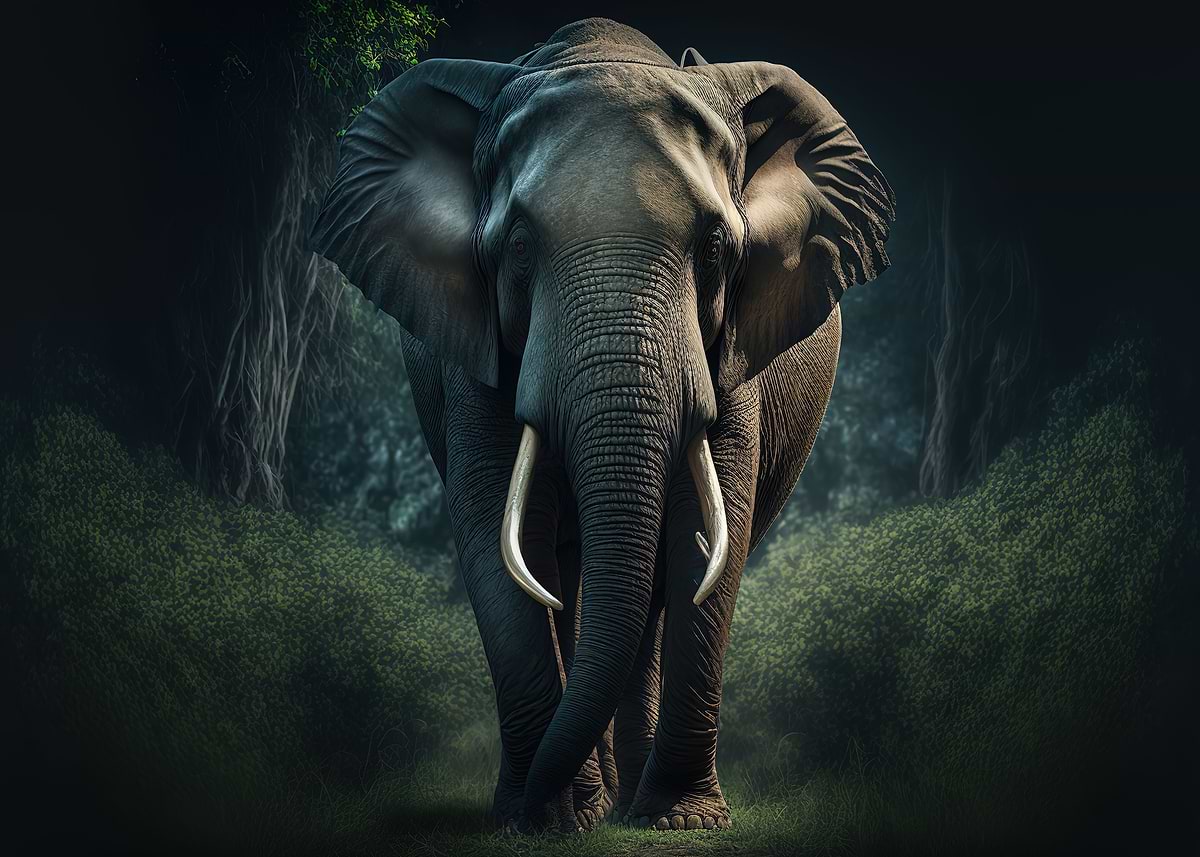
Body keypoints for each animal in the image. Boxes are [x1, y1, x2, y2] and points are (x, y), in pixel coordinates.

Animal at [310, 18, 894, 834]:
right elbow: (494, 522)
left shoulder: (733, 347)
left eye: (717, 248)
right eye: (518, 246)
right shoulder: (473, 350)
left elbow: (705, 530)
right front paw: (547, 820)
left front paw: (680, 820)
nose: (535, 804)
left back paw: (629, 804)